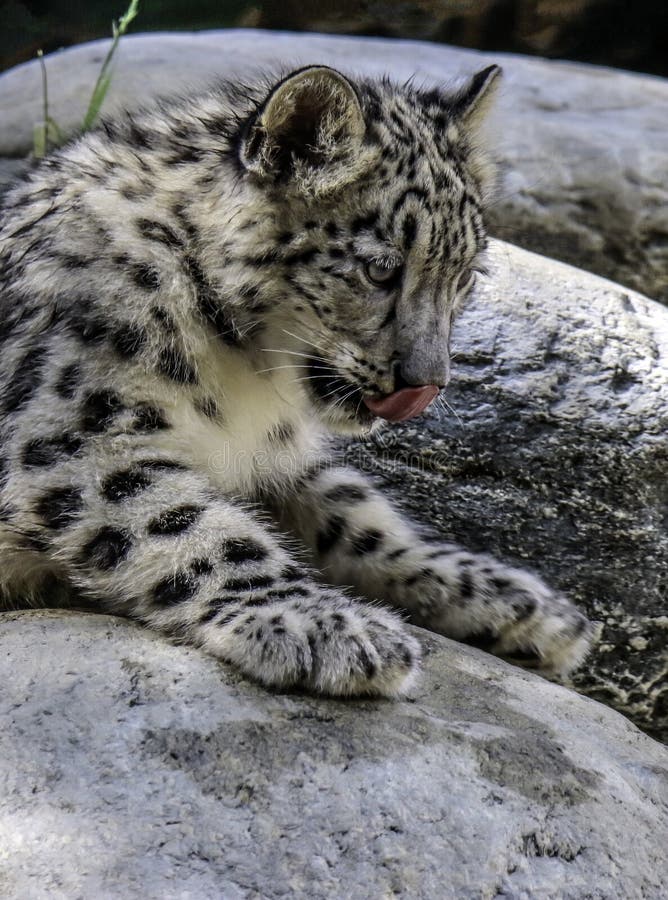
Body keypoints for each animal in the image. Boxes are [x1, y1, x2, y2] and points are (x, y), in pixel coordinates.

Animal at [0, 63, 593, 697]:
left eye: (466, 277)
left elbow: (357, 511)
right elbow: (190, 526)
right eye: (379, 268)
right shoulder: (72, 436)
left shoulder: (281, 456)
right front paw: (324, 626)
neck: (239, 388)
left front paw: (523, 606)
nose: (429, 383)